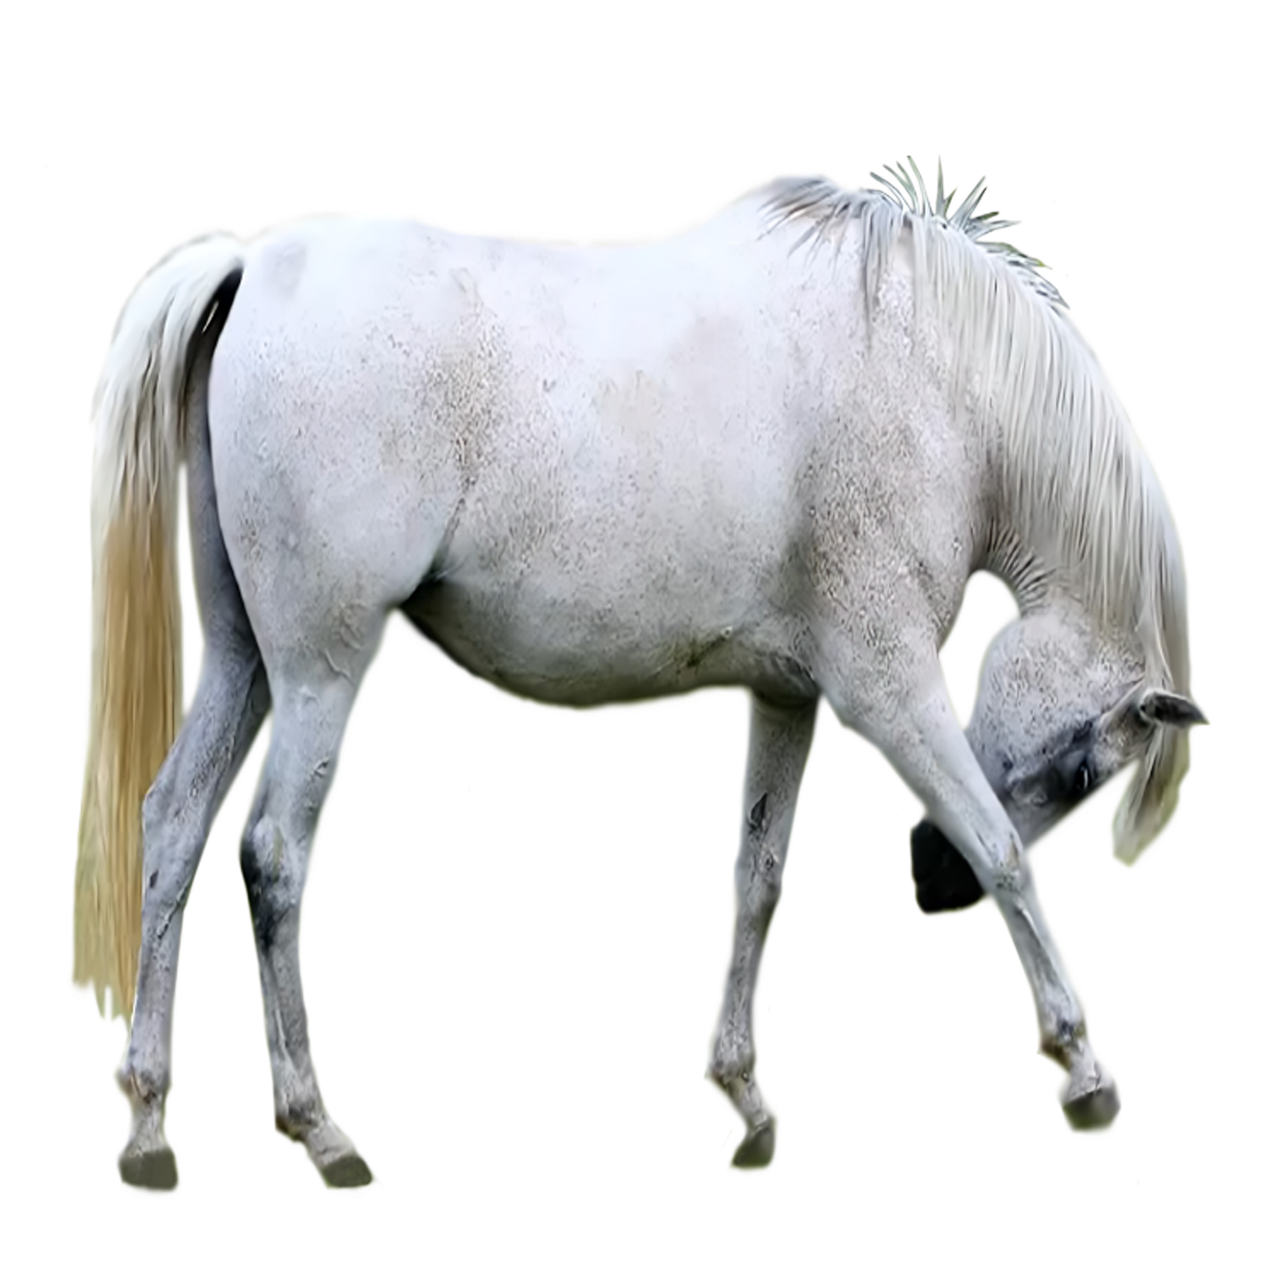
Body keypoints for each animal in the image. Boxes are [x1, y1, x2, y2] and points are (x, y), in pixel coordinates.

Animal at [70, 153, 1209, 1195]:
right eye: (1082, 770)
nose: (929, 881)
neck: (922, 363)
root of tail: (252, 259)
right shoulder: (891, 694)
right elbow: (1006, 856)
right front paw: (1083, 1070)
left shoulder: (787, 697)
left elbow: (757, 882)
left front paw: (747, 1103)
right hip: (322, 666)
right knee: (271, 855)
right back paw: (320, 1131)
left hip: (244, 661)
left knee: (173, 824)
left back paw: (149, 1125)